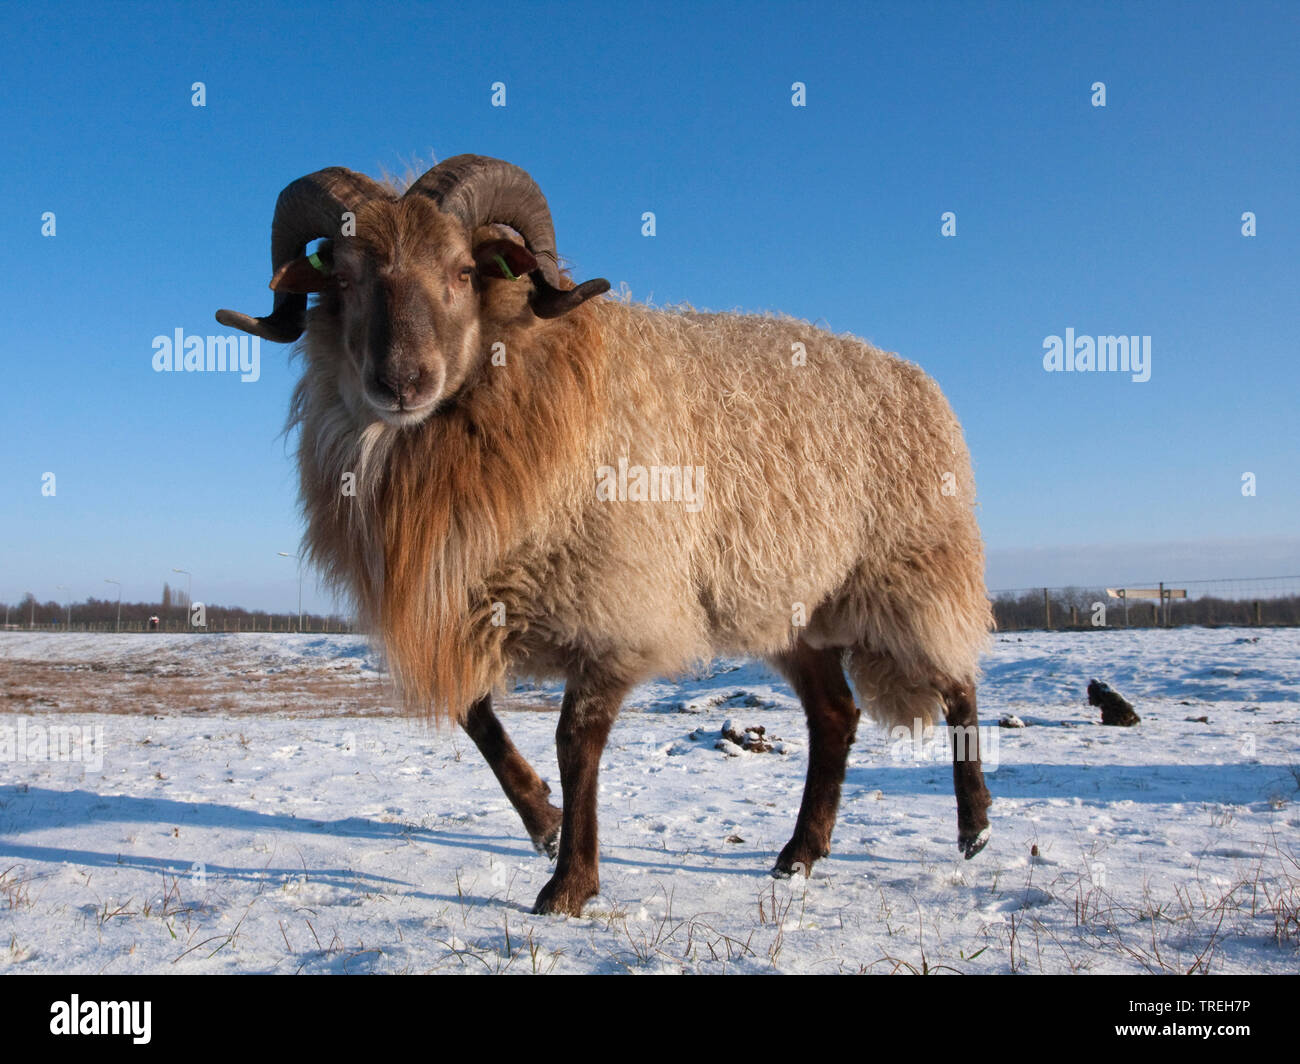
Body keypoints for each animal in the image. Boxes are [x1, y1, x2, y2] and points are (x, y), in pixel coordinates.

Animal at [216, 154, 994, 916]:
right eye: (343, 279)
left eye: (463, 272)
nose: (402, 382)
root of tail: (916, 378)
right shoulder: (469, 601)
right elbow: (476, 717)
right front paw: (543, 822)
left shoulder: (611, 602)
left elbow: (576, 743)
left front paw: (570, 882)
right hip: (792, 608)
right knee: (835, 716)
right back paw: (800, 854)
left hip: (913, 570)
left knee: (957, 683)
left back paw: (975, 827)